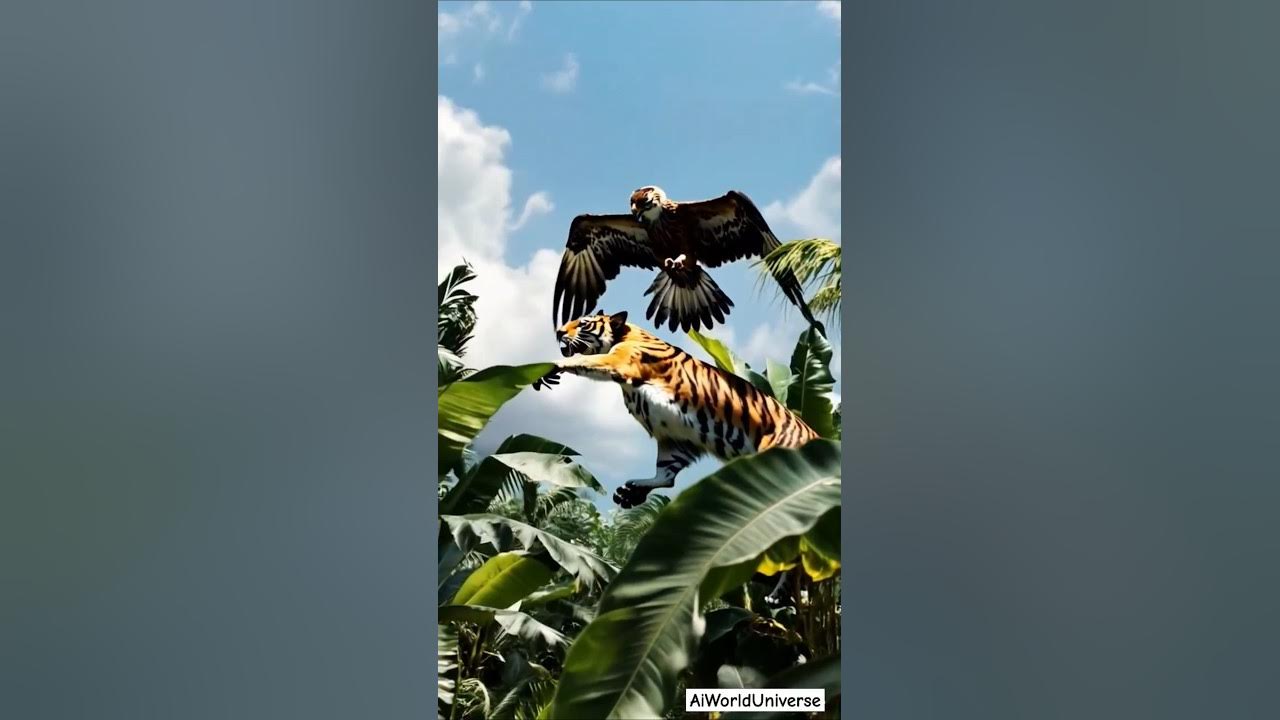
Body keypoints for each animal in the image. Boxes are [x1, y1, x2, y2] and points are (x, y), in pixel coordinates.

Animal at [532, 310, 819, 508]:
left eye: (583, 323)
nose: (559, 332)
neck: (625, 334)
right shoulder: (675, 435)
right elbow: (666, 474)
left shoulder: (618, 361)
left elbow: (583, 361)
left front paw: (550, 366)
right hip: (678, 442)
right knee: (666, 476)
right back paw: (632, 491)